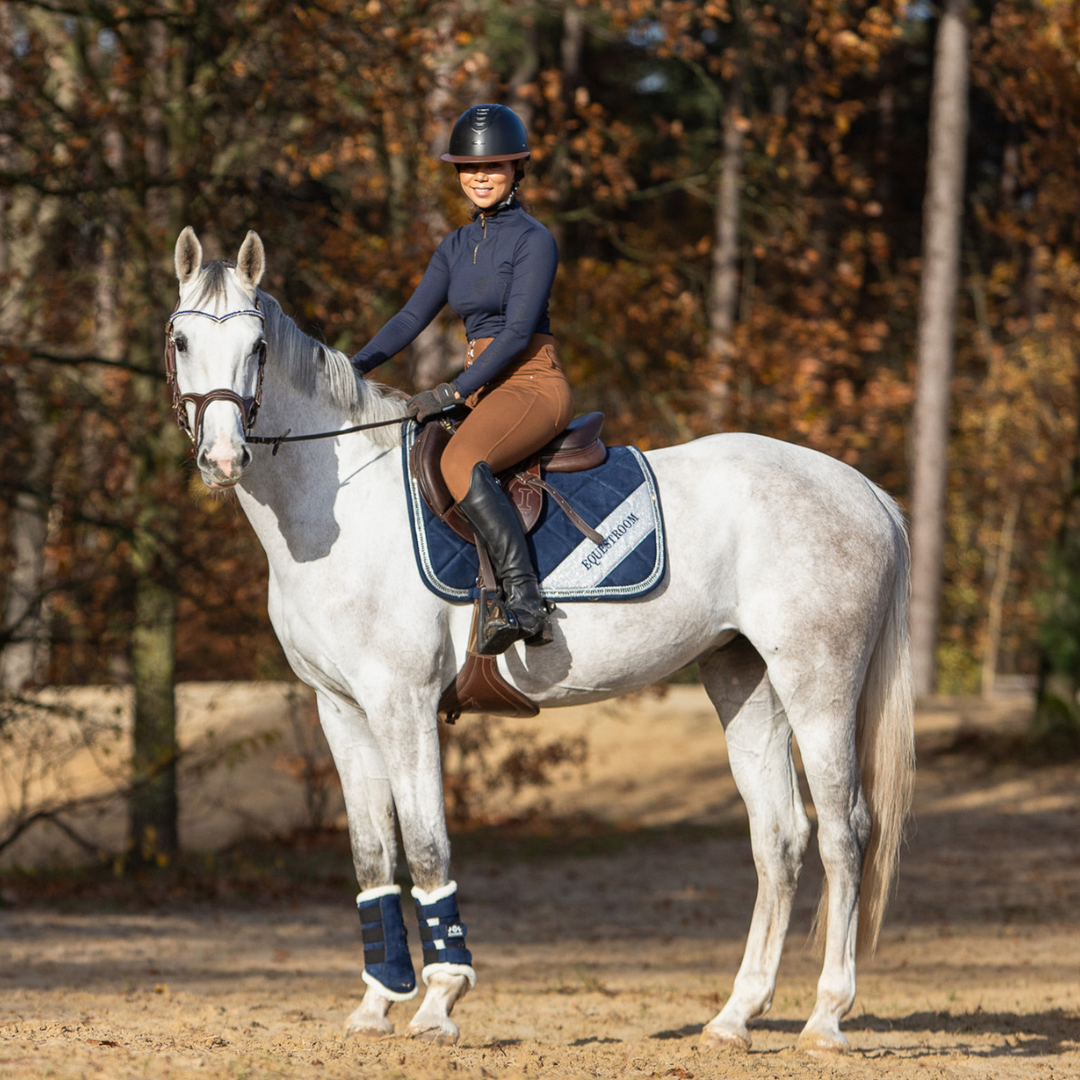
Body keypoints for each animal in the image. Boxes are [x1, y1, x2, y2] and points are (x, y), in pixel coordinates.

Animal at [166, 227, 915, 1053]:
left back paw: (825, 1017)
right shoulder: (341, 709)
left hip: (820, 686)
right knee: (778, 837)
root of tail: (863, 490)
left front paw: (440, 1001)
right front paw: (376, 1003)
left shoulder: (401, 704)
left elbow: (426, 844)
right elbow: (371, 854)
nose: (223, 458)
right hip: (744, 680)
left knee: (844, 834)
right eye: (180, 340)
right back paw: (734, 1017)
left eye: (258, 345)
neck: (339, 507)